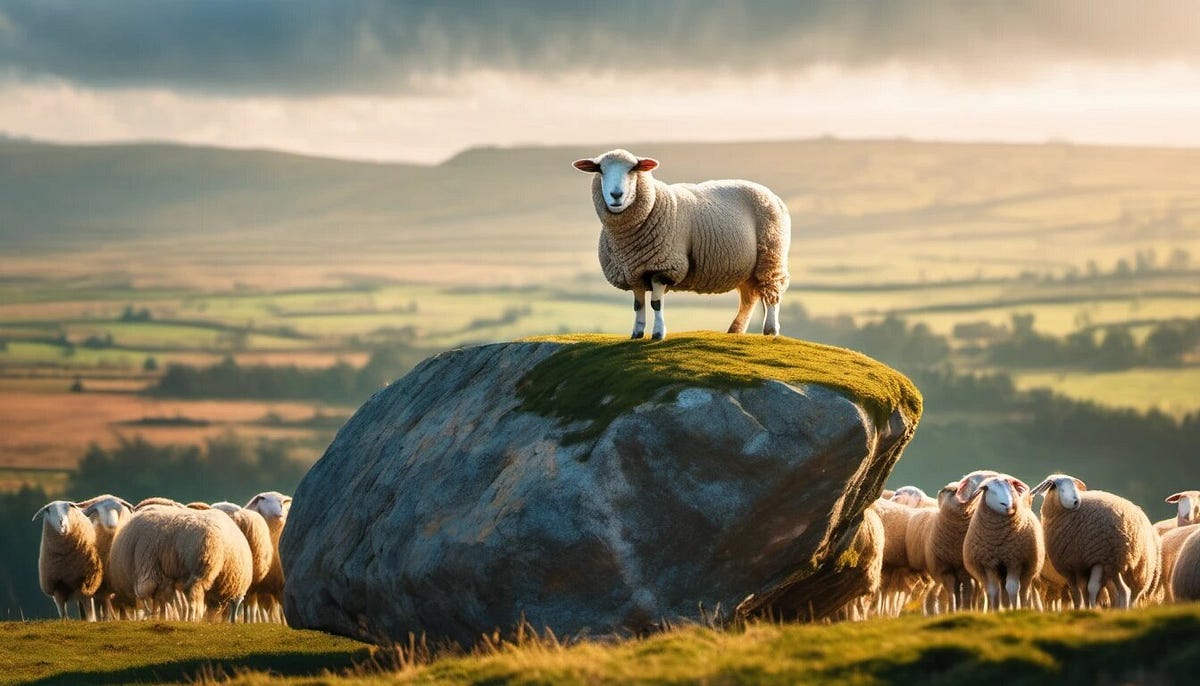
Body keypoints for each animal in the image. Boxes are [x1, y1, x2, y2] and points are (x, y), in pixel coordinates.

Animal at [245, 491, 292, 622]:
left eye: (282, 502)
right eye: (265, 500)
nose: (280, 514)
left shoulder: (280, 582)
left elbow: (282, 609)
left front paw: (284, 623)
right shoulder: (254, 586)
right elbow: (252, 609)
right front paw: (249, 622)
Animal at [572, 149, 791, 339]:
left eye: (633, 169)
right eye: (600, 170)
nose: (616, 195)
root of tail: (769, 193)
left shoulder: (664, 267)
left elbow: (656, 303)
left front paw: (658, 334)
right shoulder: (634, 271)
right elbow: (638, 305)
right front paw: (636, 334)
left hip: (771, 255)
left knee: (771, 291)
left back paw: (770, 330)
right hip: (746, 267)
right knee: (749, 298)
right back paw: (735, 330)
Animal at [959, 475, 1045, 611]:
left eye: (1010, 489)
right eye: (990, 490)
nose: (1007, 505)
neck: (997, 540)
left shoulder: (1015, 561)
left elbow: (1013, 588)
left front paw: (1015, 610)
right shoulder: (989, 563)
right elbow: (993, 589)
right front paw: (994, 610)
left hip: (1028, 569)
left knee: (1023, 590)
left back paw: (1023, 608)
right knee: (1000, 590)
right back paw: (1002, 607)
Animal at [1031, 473, 1161, 609]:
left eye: (1074, 486)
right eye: (1061, 488)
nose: (1076, 501)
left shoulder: (1089, 561)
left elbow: (1086, 590)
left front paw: (1088, 608)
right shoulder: (1077, 566)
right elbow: (1080, 592)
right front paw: (1083, 608)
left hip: (1113, 560)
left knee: (1120, 591)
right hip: (1118, 564)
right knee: (1124, 591)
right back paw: (1122, 608)